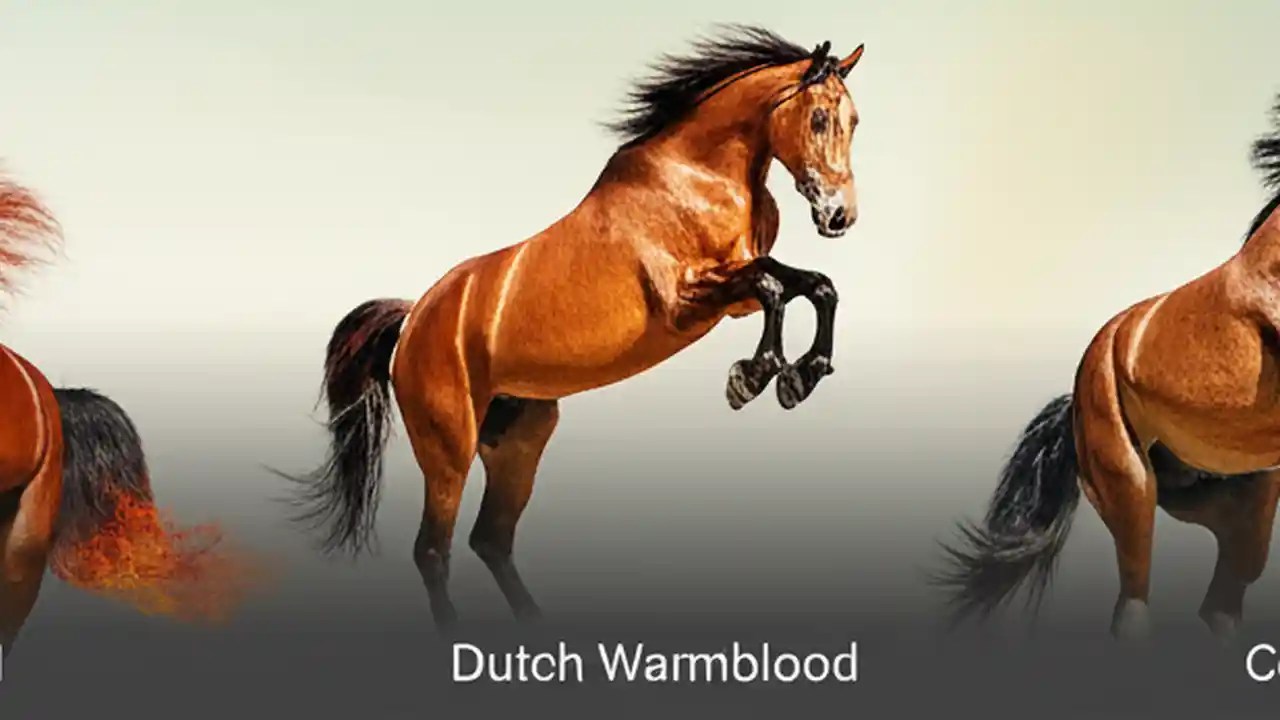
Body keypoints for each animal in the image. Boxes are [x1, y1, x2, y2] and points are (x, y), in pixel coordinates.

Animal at [288, 26, 866, 629]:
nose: (839, 216)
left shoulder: (736, 296)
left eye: (855, 121)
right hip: (449, 448)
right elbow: (775, 285)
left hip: (519, 441)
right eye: (819, 118)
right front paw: (754, 378)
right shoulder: (687, 299)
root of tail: (415, 317)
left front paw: (801, 375)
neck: (699, 176)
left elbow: (814, 285)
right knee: (433, 550)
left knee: (490, 539)